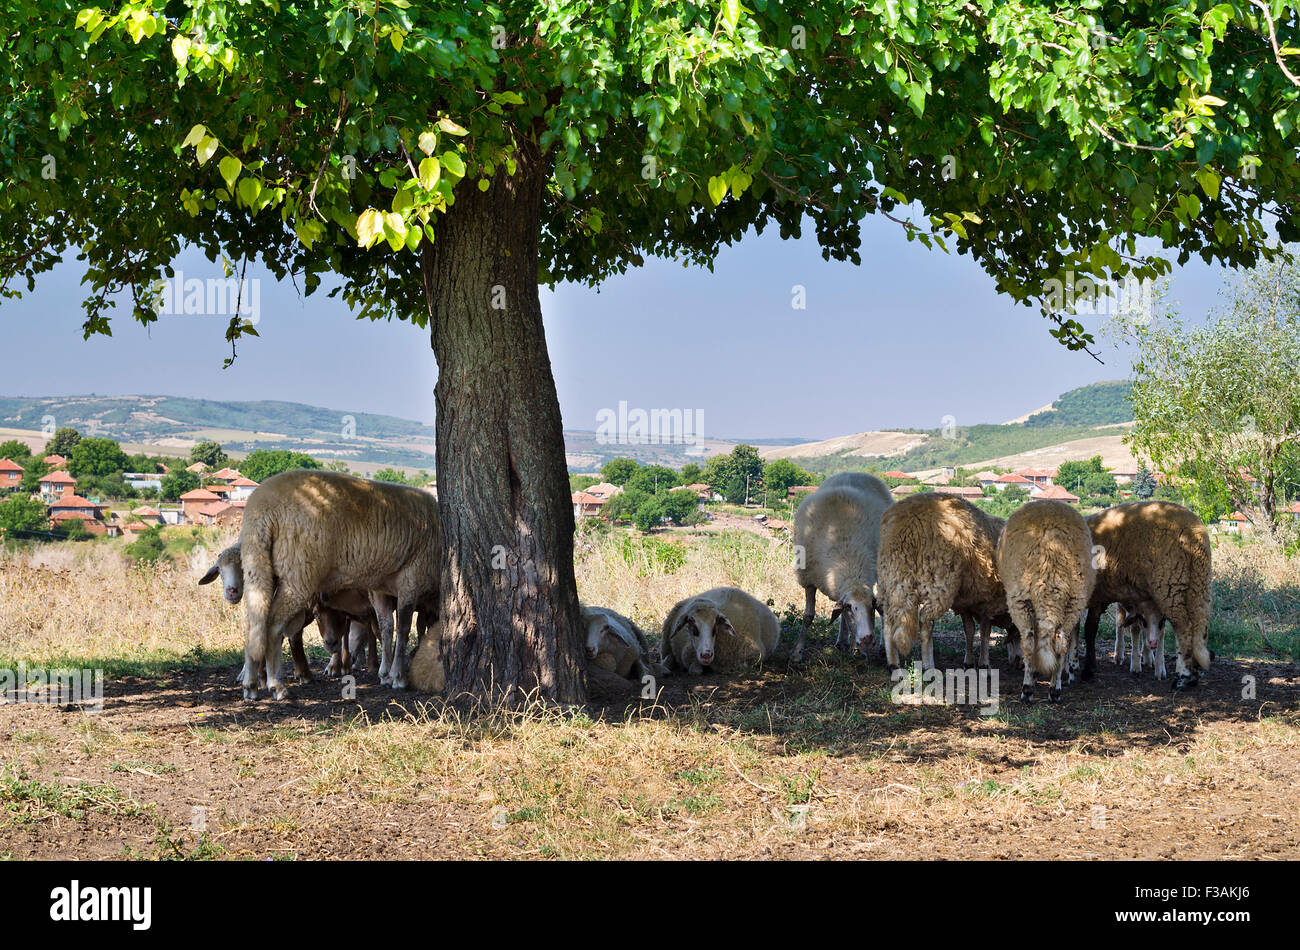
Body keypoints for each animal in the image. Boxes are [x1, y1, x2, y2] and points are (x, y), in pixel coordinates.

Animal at [238, 469, 440, 700]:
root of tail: (259, 509)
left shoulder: (381, 589)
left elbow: (387, 627)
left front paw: (386, 674)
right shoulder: (411, 579)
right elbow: (403, 630)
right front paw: (398, 676)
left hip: (258, 564)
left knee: (254, 623)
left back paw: (250, 685)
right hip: (297, 573)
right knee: (272, 625)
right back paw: (275, 685)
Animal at [791, 471, 893, 662]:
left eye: (871, 606)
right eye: (850, 608)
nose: (867, 641)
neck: (847, 563)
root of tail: (856, 473)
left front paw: (856, 649)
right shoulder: (809, 579)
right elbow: (808, 617)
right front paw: (797, 652)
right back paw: (841, 642)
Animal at [876, 493, 1008, 670]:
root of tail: (907, 525)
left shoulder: (965, 602)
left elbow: (970, 629)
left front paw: (970, 660)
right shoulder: (987, 602)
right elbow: (984, 632)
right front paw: (983, 662)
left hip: (891, 579)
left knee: (889, 618)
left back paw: (893, 663)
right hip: (939, 582)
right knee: (925, 621)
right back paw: (928, 664)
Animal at [996, 500, 1096, 703]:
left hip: (1021, 599)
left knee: (1029, 643)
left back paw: (1028, 689)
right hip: (1073, 599)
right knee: (1060, 643)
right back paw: (1054, 689)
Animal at [1081, 500, 1212, 690]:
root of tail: (1196, 531)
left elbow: (1086, 631)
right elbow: (1089, 629)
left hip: (1169, 583)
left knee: (1184, 628)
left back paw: (1183, 677)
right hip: (1197, 583)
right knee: (1200, 627)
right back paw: (1193, 673)